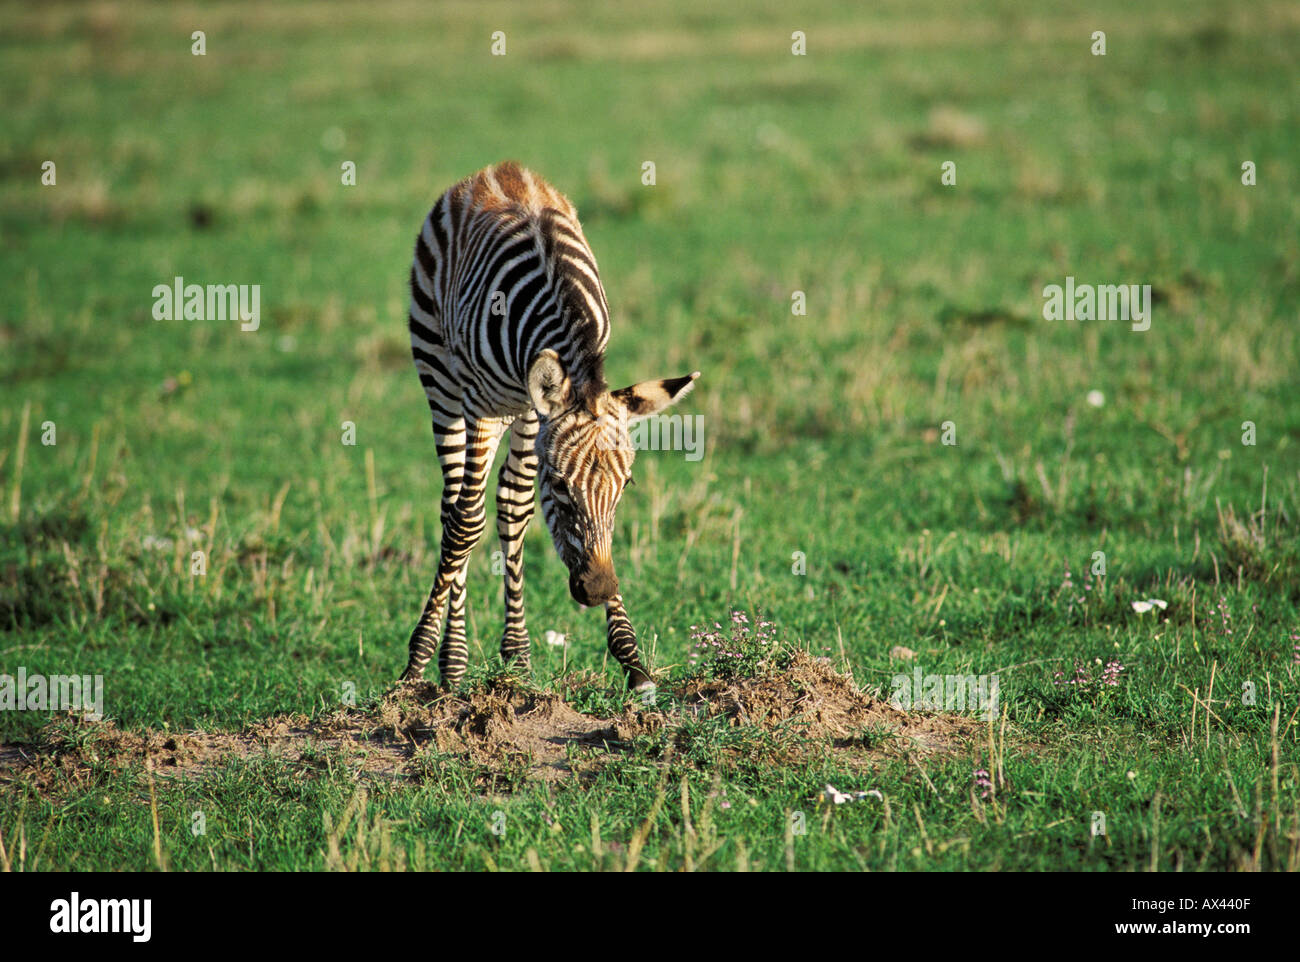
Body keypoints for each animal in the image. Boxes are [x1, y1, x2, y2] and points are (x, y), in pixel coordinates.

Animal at [400, 161, 699, 692]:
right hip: (444, 385)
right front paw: (416, 664)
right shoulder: (480, 403)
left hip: (518, 414)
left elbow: (520, 511)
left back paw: (512, 657)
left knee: (509, 504)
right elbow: (466, 522)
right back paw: (451, 665)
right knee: (456, 509)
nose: (597, 589)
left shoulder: (540, 412)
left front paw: (632, 660)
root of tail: (494, 171)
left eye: (627, 485)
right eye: (559, 485)